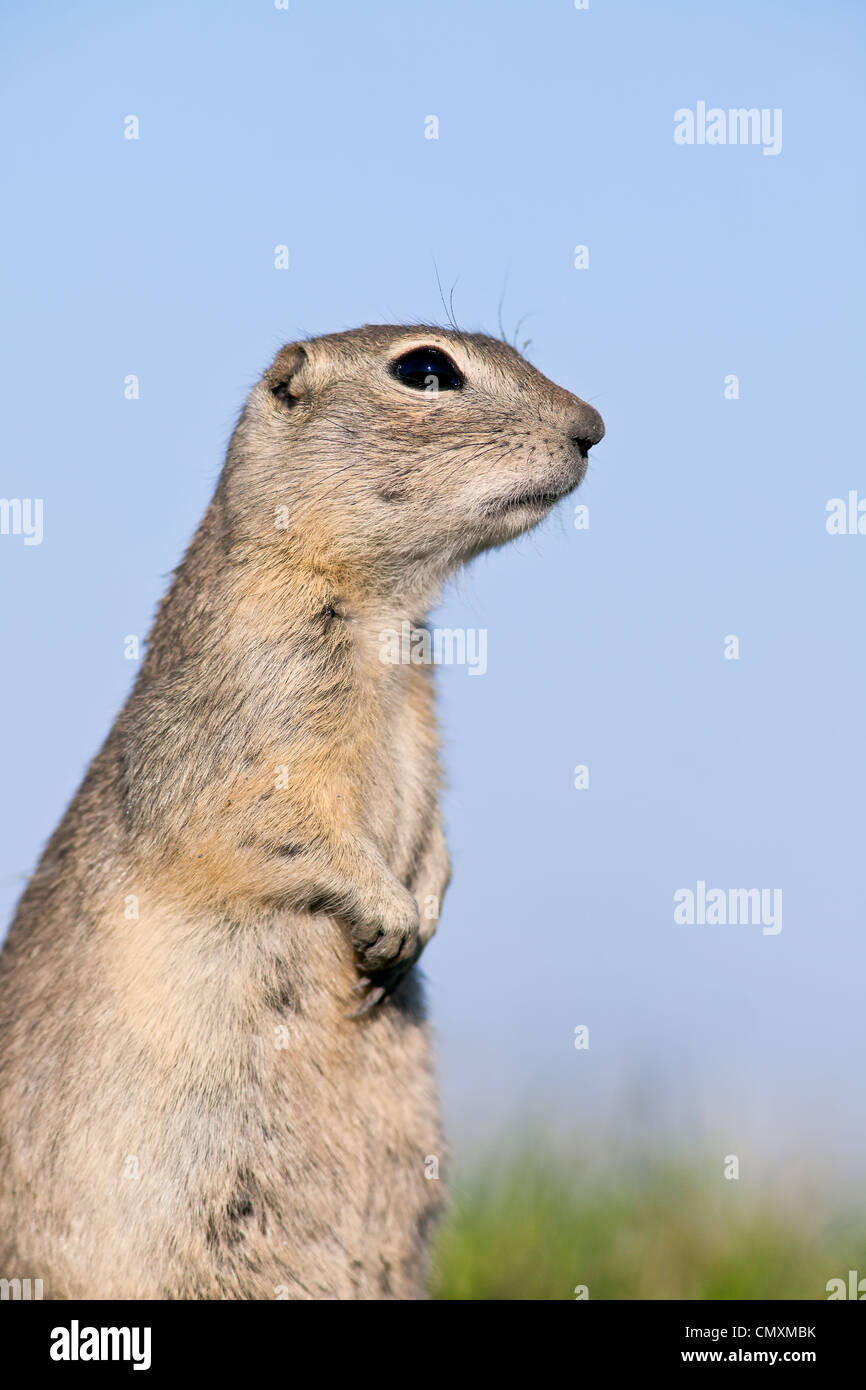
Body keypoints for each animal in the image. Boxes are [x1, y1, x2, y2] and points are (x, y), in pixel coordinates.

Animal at [0, 325, 604, 1299]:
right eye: (425, 370)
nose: (594, 428)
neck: (385, 611)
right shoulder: (255, 717)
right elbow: (273, 827)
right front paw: (389, 917)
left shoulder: (421, 715)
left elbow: (433, 825)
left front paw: (425, 905)